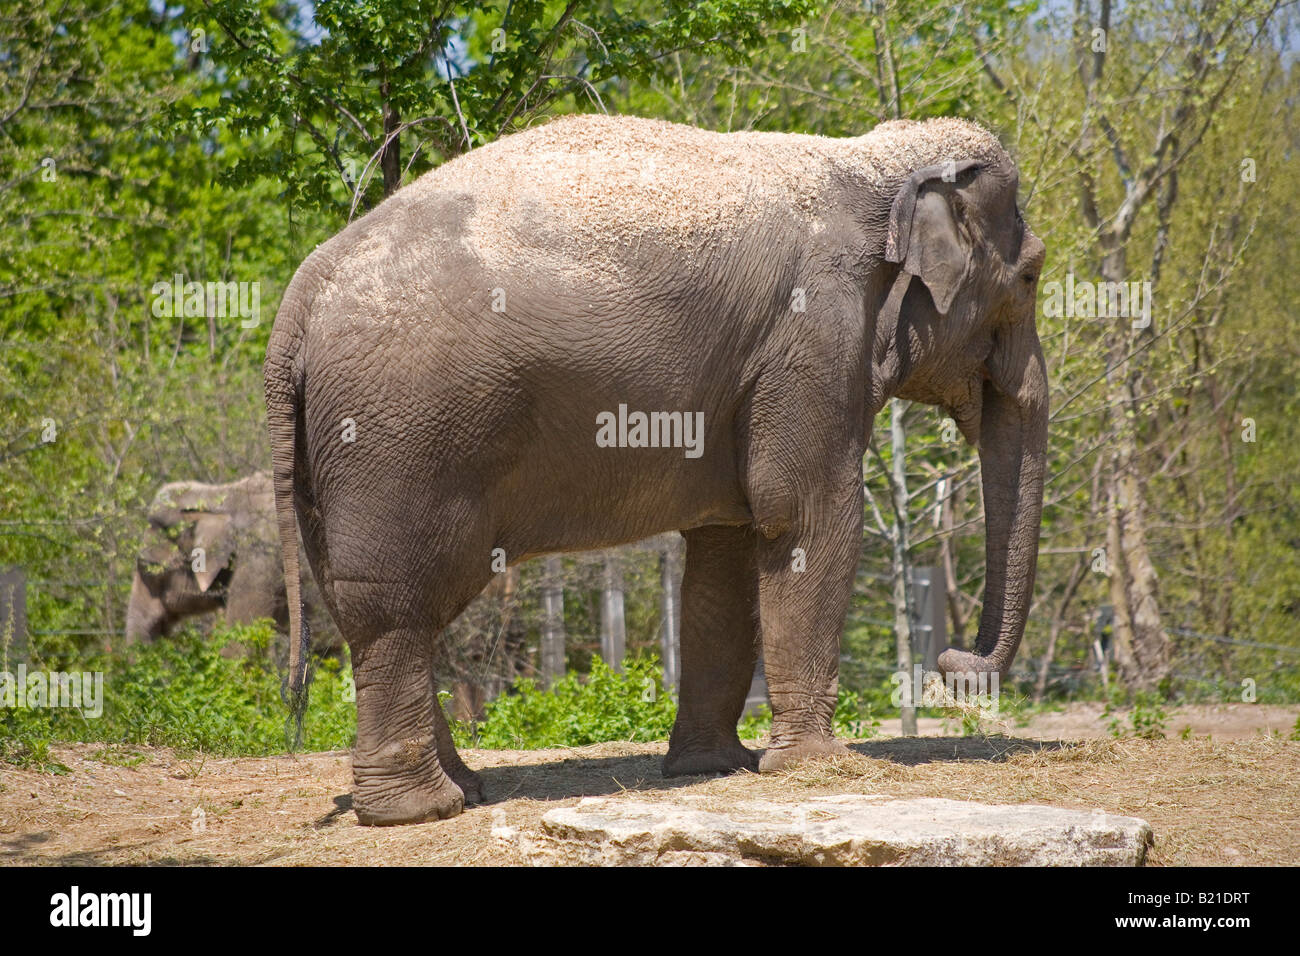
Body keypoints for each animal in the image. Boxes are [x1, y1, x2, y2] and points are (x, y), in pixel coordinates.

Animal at [265, 113, 1048, 825]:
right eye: (1034, 275)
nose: (952, 662)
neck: (869, 159)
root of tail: (295, 305)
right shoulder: (811, 335)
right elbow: (805, 516)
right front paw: (818, 767)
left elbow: (725, 556)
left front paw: (714, 767)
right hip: (399, 438)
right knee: (393, 607)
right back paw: (419, 811)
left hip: (334, 454)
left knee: (366, 605)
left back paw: (463, 789)